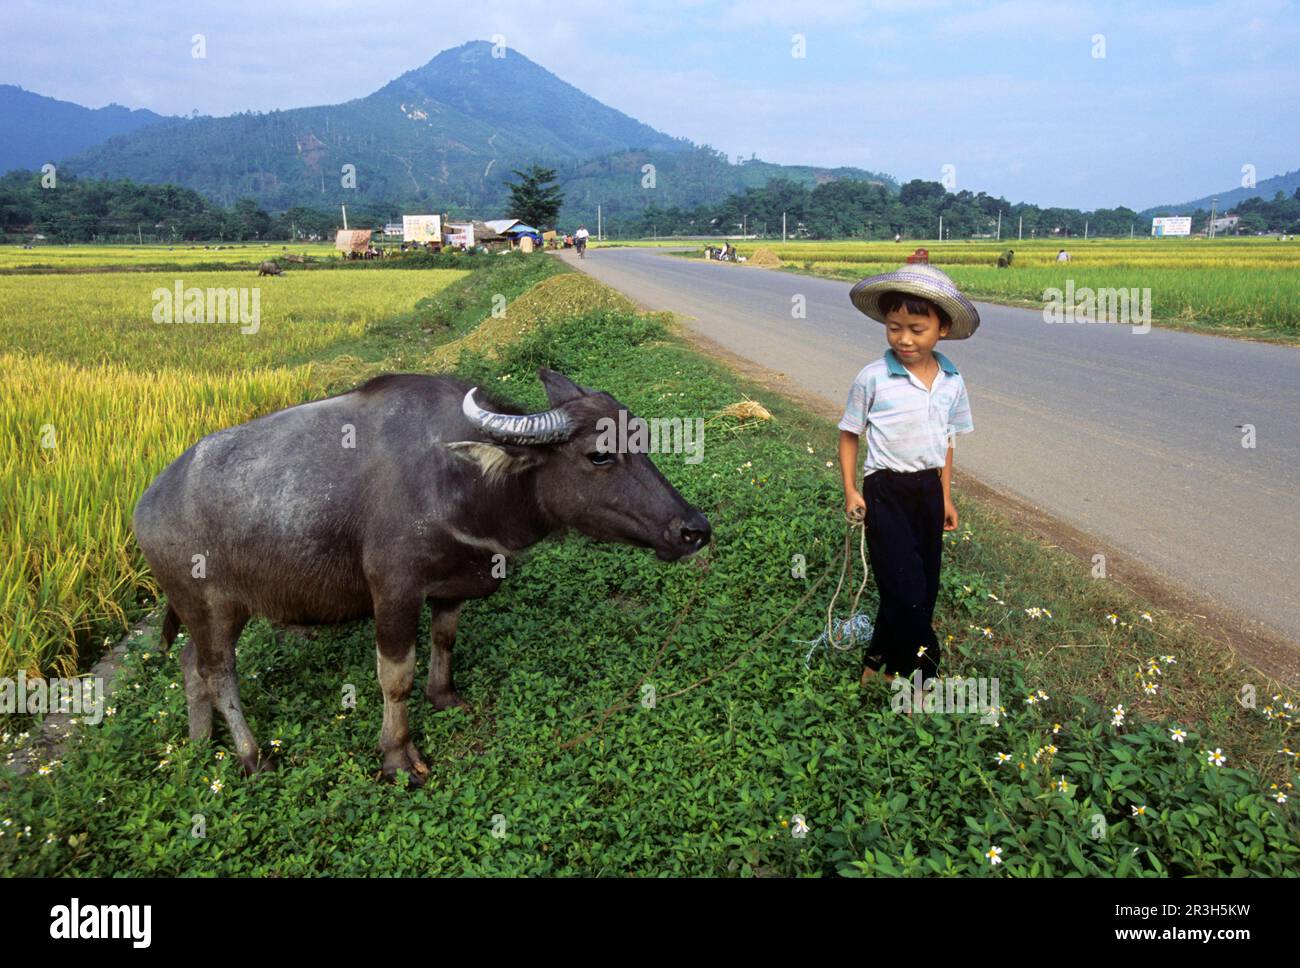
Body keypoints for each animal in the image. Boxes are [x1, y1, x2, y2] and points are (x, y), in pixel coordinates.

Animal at [132, 369, 712, 783]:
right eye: (599, 455)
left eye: (643, 440)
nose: (693, 530)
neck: (461, 480)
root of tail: (146, 505)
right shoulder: (394, 593)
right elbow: (396, 677)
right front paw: (397, 756)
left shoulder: (450, 586)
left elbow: (445, 640)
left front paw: (445, 696)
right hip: (213, 606)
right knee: (219, 672)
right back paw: (253, 756)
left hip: (205, 612)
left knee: (191, 664)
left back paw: (200, 741)